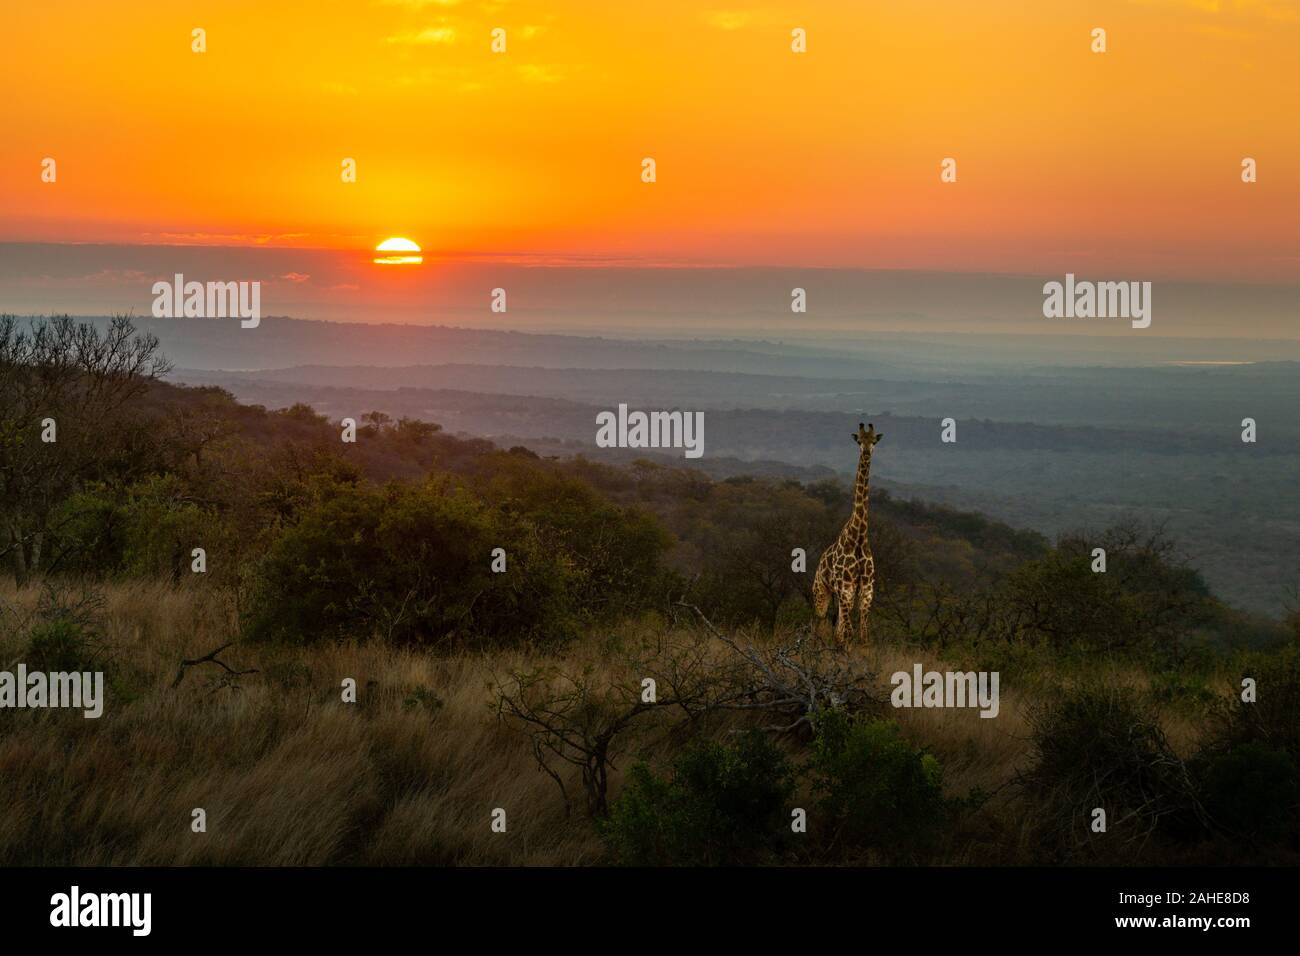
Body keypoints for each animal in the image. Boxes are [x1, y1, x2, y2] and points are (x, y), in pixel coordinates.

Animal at [813, 422, 883, 644]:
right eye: (859, 440)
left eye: (874, 441)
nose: (866, 452)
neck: (859, 536)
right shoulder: (845, 585)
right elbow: (848, 633)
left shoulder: (867, 588)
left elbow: (863, 635)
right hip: (821, 591)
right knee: (819, 622)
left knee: (838, 626)